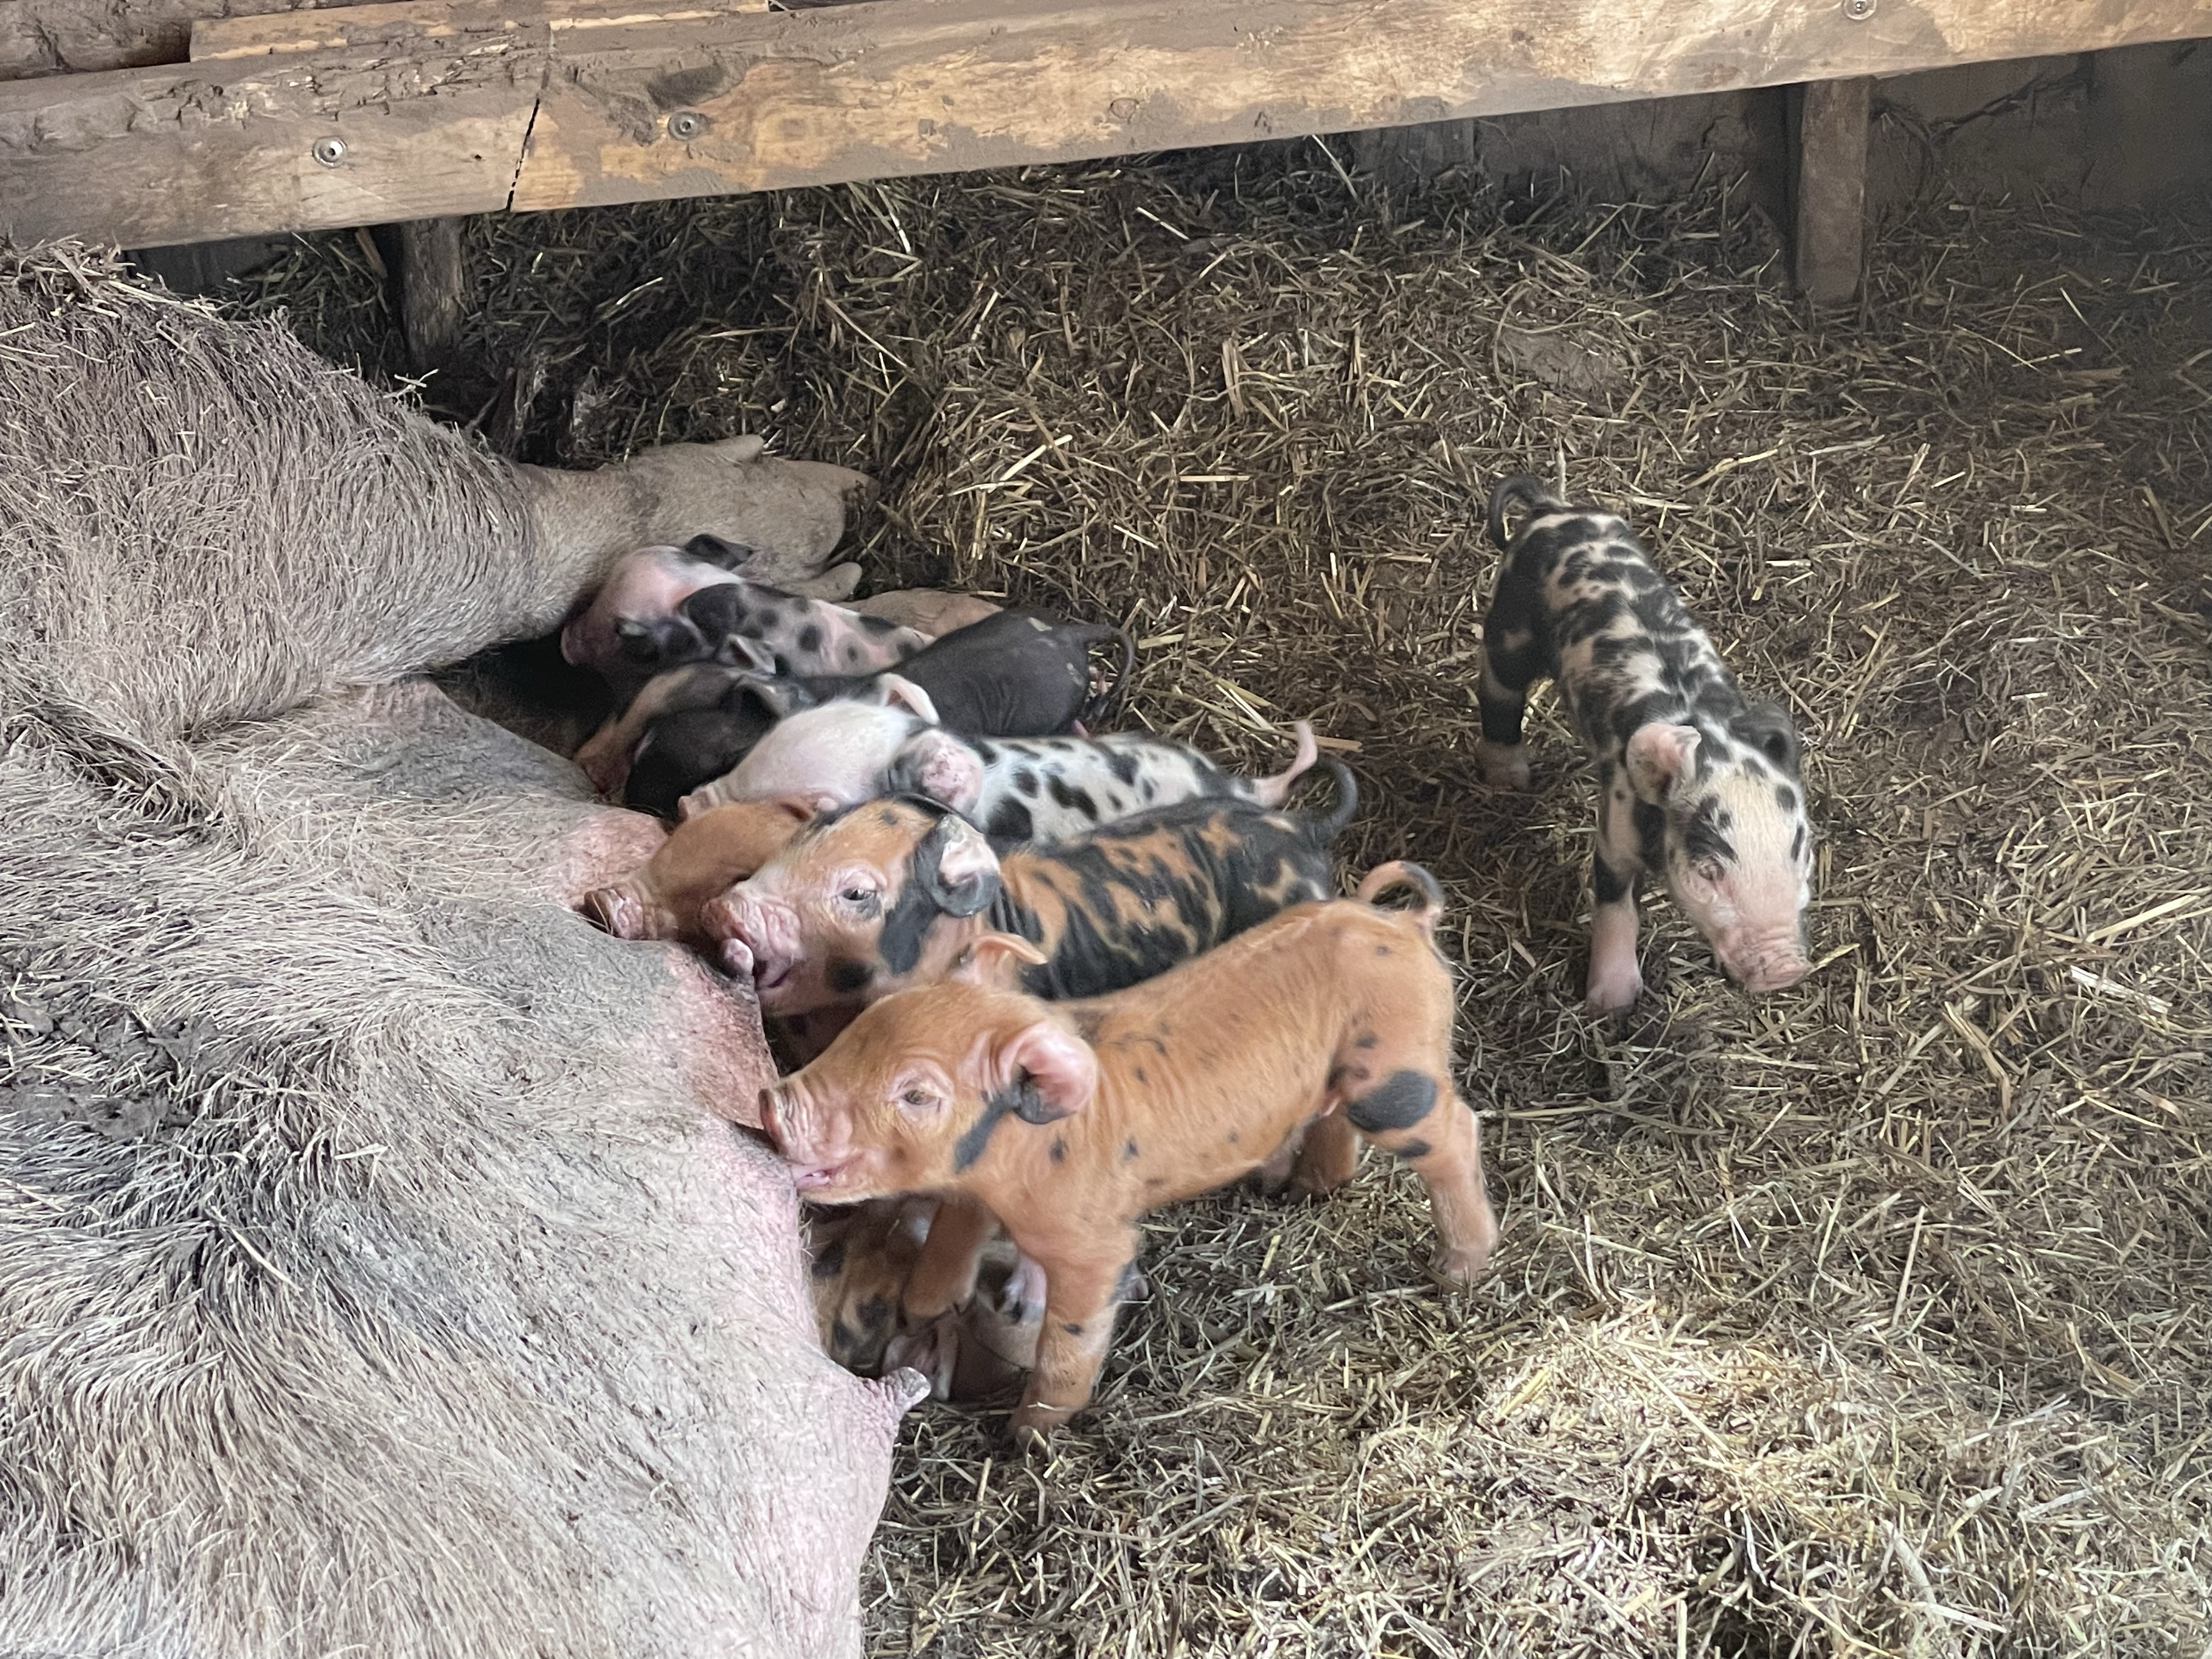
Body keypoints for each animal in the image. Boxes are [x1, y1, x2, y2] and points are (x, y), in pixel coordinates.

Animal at [757, 861, 1500, 1447]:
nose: (772, 1101)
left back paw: (1457, 1272)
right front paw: (924, 1308)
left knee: (1458, 1131)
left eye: (916, 1095)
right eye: (863, 1028)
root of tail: (1407, 926)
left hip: (1397, 1080)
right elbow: (947, 1249)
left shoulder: (1094, 1242)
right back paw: (1303, 1191)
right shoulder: (976, 1197)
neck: (1018, 1155)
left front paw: (1026, 1438)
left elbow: (1074, 1334)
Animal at [1472, 476, 1815, 1010]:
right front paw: (1613, 1005)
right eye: (1708, 871)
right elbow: (1616, 905)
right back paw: (1510, 780)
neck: (1705, 725)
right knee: (1497, 692)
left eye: (1799, 853)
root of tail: (1552, 509)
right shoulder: (1616, 823)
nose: (1785, 970)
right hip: (1510, 624)